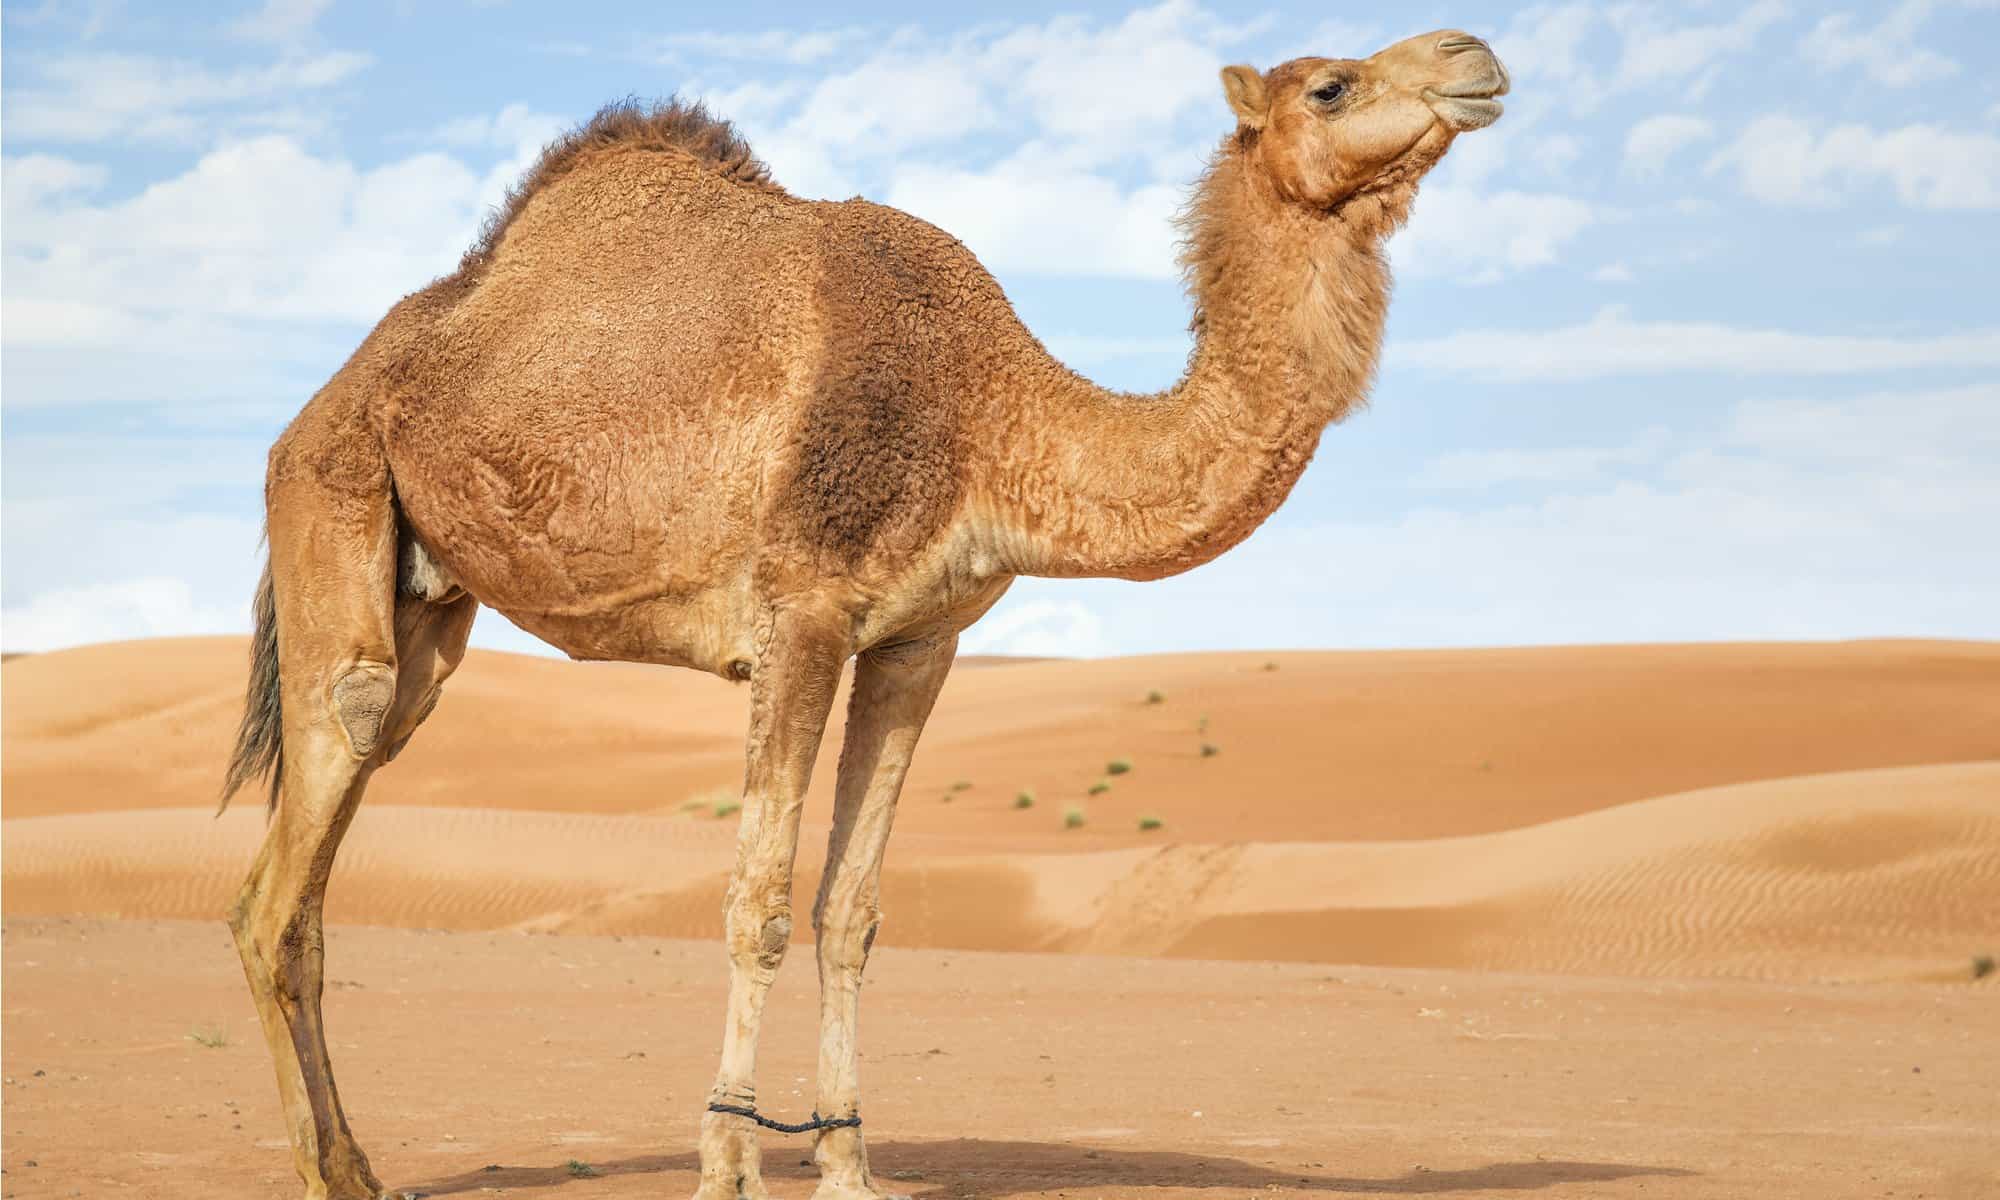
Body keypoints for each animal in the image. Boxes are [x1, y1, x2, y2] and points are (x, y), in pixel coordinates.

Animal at [218, 29, 1507, 1200]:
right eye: (1330, 84)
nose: (1475, 57)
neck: (985, 412)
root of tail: (317, 404)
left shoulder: (917, 639)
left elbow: (852, 913)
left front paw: (845, 1164)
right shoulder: (800, 612)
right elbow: (757, 904)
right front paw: (728, 1162)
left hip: (428, 605)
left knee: (320, 852)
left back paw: (356, 1166)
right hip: (332, 491)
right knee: (294, 847)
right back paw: (330, 1172)